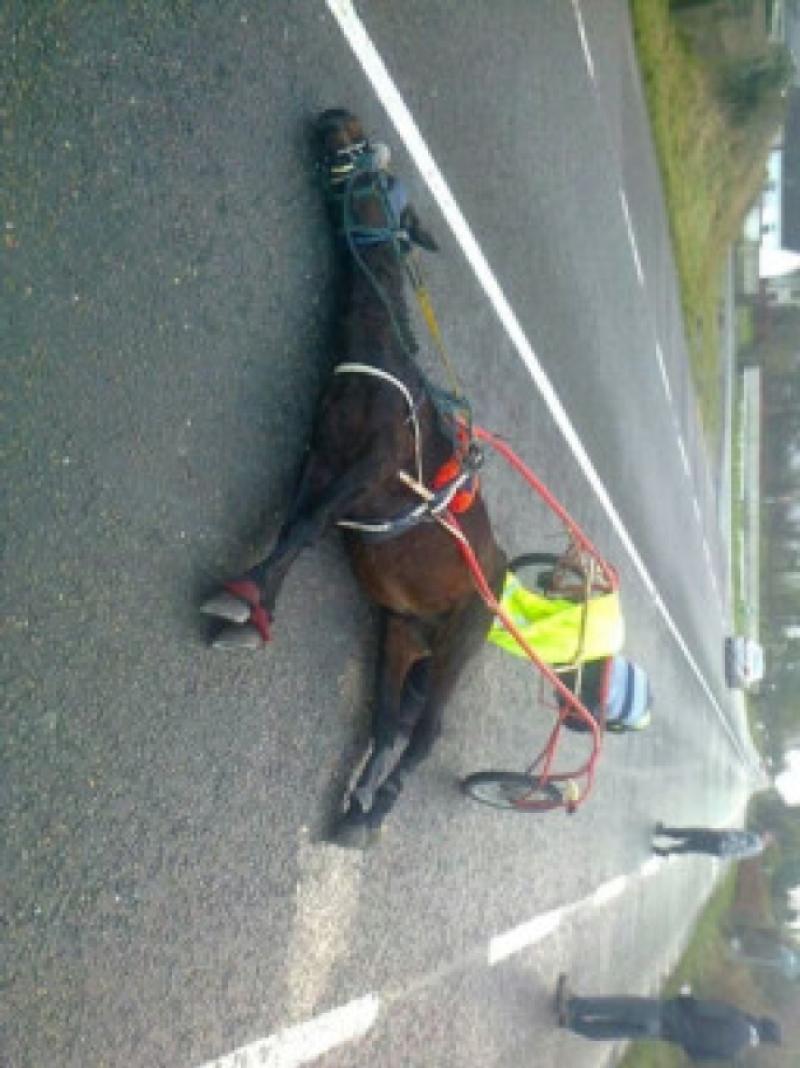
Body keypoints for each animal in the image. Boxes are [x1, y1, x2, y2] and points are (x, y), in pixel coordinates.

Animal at [201, 109, 507, 848]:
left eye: (378, 175)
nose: (337, 117)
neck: (381, 359)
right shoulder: (321, 453)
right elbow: (294, 522)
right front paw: (253, 603)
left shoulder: (369, 468)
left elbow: (311, 522)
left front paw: (241, 597)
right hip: (402, 634)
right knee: (387, 724)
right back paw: (357, 802)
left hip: (461, 639)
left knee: (425, 735)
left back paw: (378, 808)